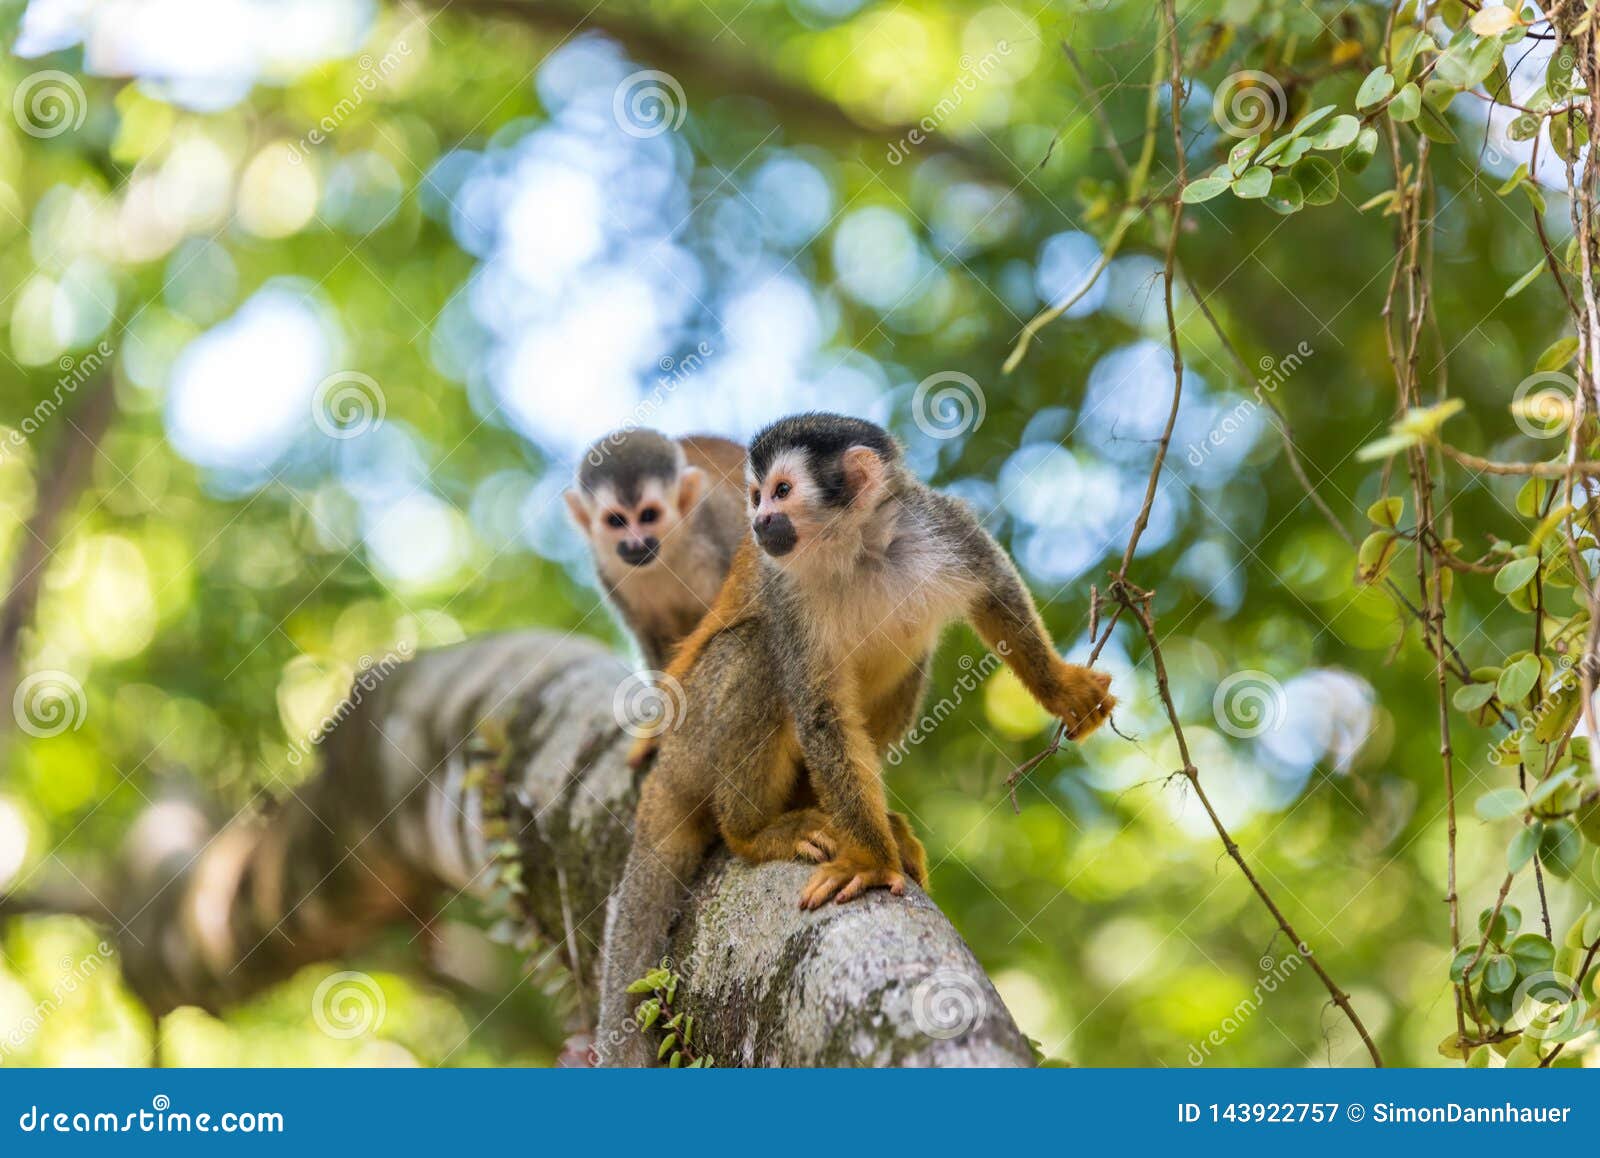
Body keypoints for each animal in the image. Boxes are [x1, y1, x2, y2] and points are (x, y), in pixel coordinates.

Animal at [596, 413, 1114, 1065]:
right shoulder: (785, 589)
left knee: (911, 659)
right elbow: (819, 711)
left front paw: (1060, 689)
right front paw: (869, 861)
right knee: (755, 648)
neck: (858, 548)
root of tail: (663, 770)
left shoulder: (940, 526)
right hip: (693, 741)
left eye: (781, 491)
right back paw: (753, 830)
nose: (759, 522)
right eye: (755, 496)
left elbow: (996, 591)